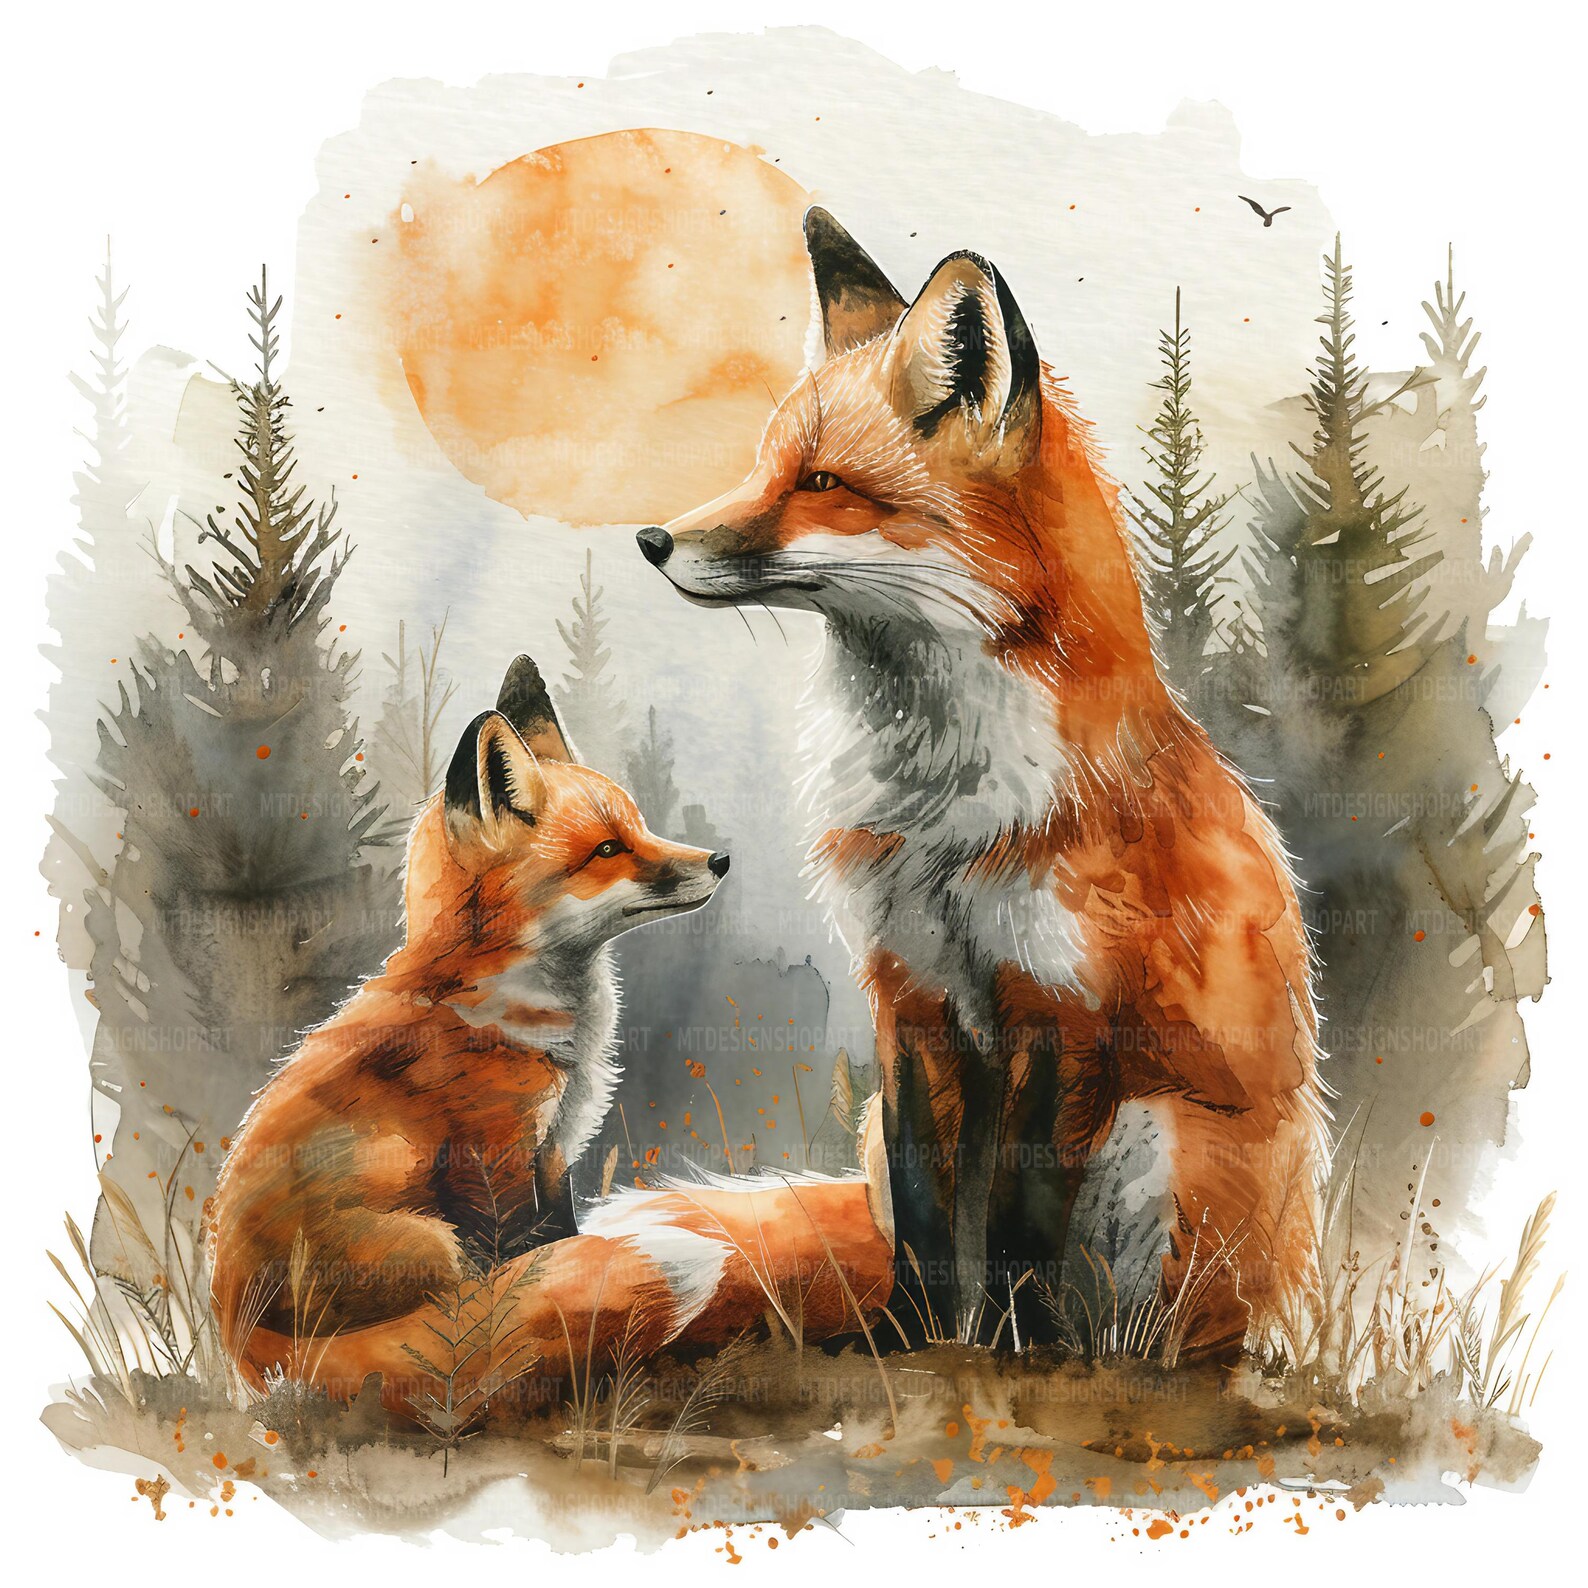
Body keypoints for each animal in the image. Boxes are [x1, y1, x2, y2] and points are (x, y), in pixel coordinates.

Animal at [210, 656, 894, 1413]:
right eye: (607, 849)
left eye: (640, 827)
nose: (719, 861)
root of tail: (246, 1350)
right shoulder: (494, 1157)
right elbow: (518, 1261)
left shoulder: (556, 1147)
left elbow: (559, 1238)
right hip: (429, 1244)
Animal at [636, 208, 1328, 1352]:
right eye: (764, 465)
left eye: (819, 482)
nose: (651, 538)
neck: (939, 813)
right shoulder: (909, 988)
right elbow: (928, 1212)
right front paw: (914, 1339)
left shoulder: (1060, 1007)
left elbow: (1020, 1220)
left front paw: (1011, 1348)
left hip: (1164, 1149)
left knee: (1156, 1326)